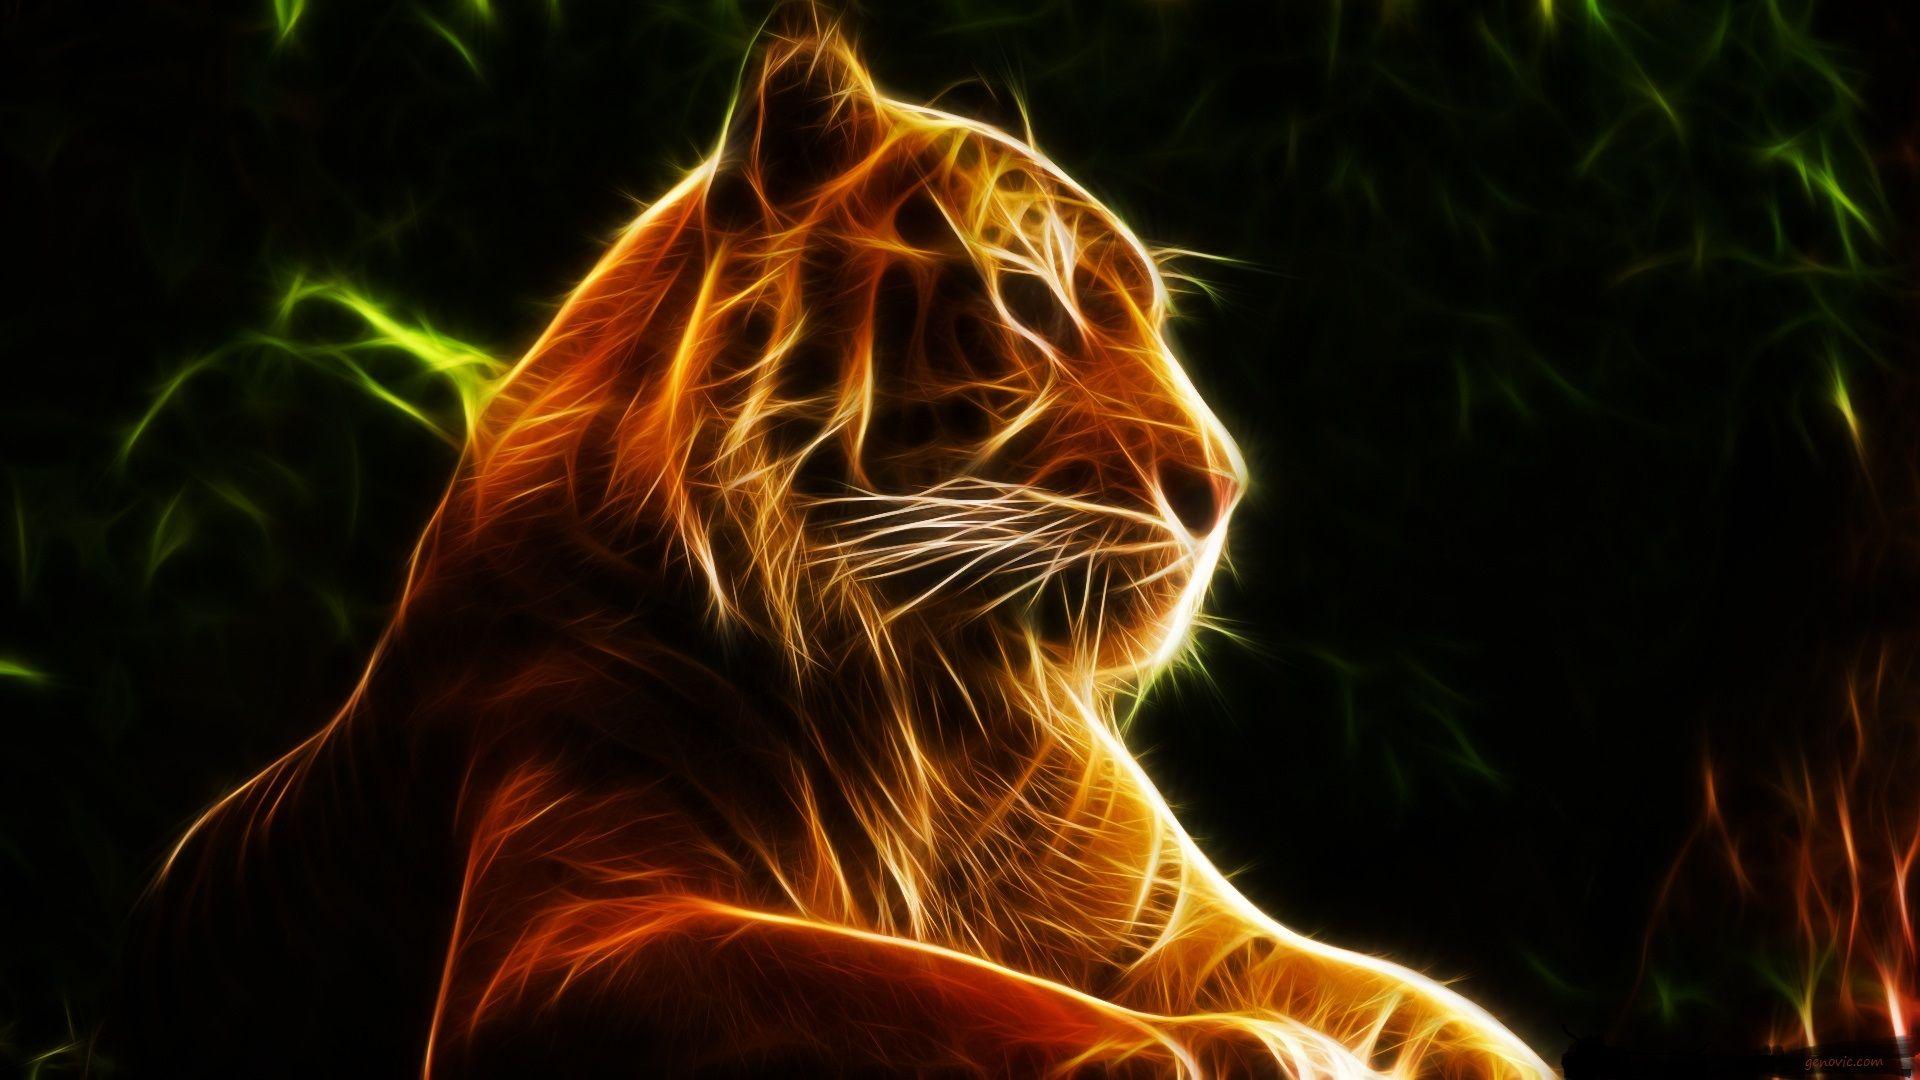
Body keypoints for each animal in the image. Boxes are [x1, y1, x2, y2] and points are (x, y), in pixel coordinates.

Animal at [118, 13, 1553, 1079]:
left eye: (1148, 315)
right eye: (1028, 303)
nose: (1224, 488)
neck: (932, 709)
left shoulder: (1186, 930)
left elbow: (1441, 1014)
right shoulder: (568, 929)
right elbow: (927, 994)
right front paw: (1244, 1050)